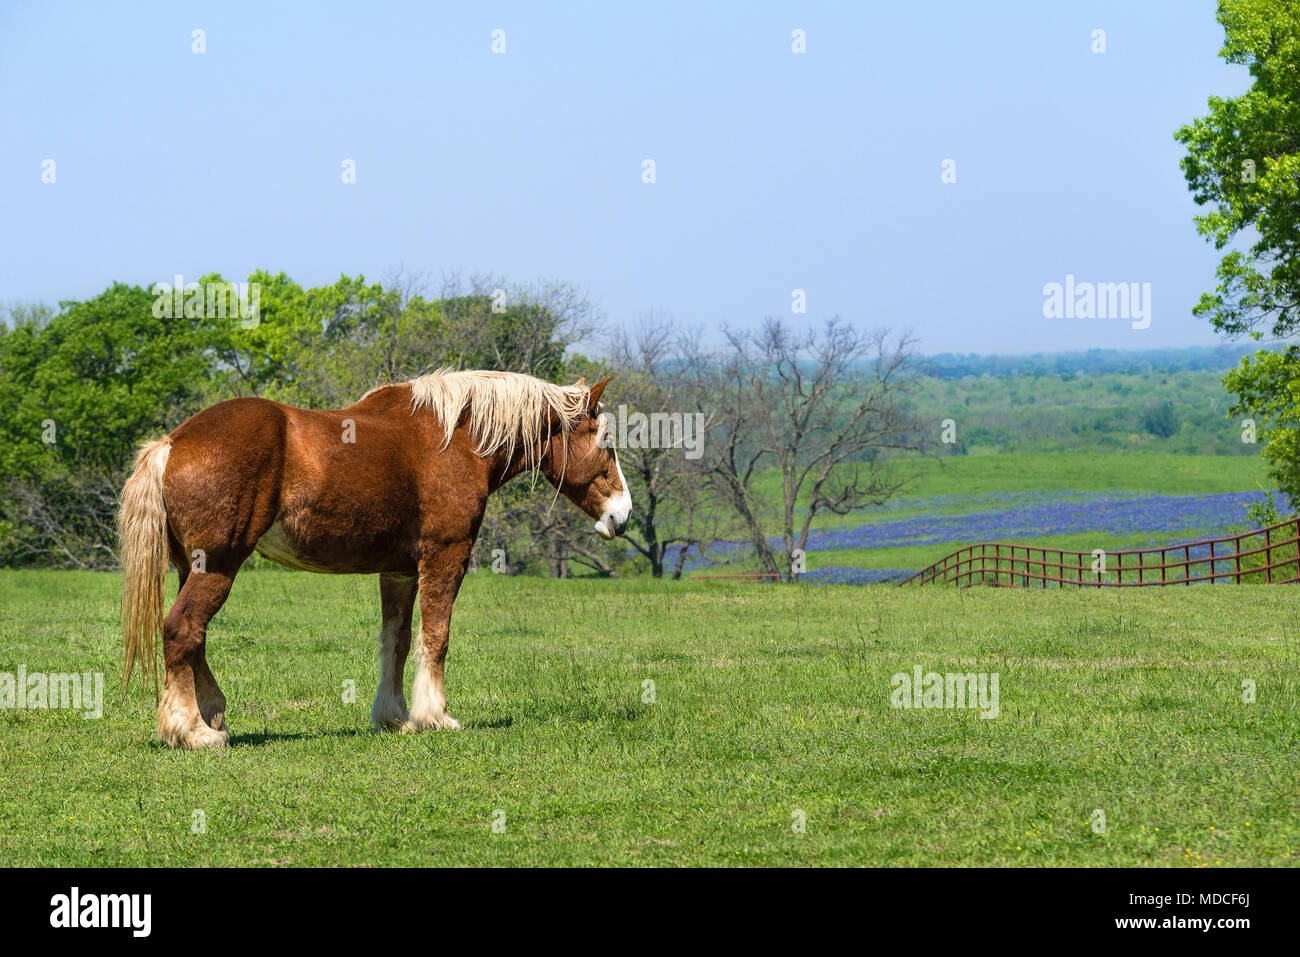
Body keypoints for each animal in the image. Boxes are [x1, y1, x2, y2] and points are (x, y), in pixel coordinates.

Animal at [117, 369, 631, 749]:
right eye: (605, 440)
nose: (622, 515)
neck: (456, 438)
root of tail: (171, 444)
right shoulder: (446, 555)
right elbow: (436, 636)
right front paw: (434, 716)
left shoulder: (399, 570)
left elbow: (397, 641)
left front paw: (394, 716)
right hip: (219, 565)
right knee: (181, 630)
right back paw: (191, 730)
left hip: (191, 568)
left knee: (194, 638)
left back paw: (211, 716)